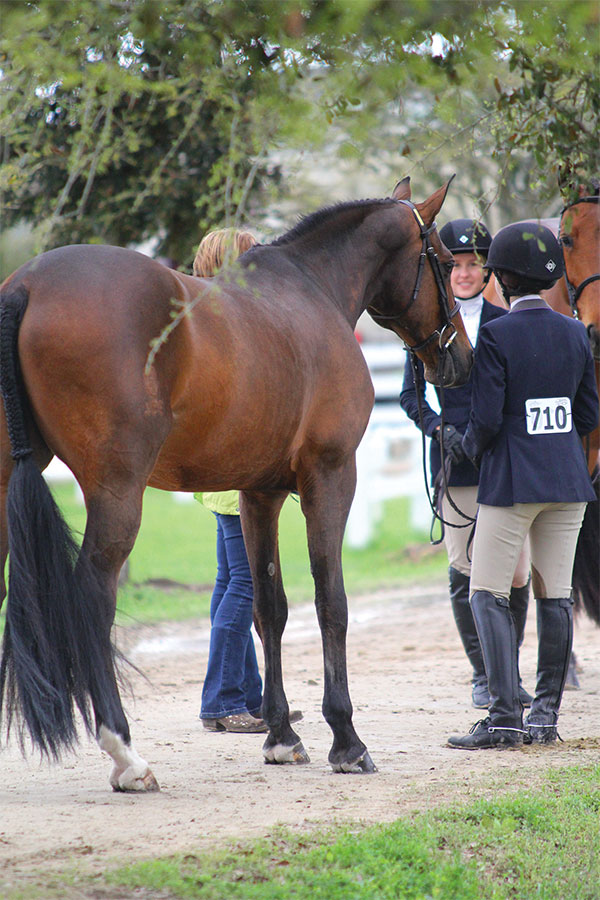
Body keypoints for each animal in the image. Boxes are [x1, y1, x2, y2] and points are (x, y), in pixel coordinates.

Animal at [0, 177, 473, 792]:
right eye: (444, 262)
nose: (459, 359)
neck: (311, 291)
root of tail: (27, 284)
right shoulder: (330, 475)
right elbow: (331, 602)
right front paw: (346, 740)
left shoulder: (259, 493)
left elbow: (269, 607)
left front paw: (281, 736)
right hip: (118, 493)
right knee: (92, 602)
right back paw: (126, 755)